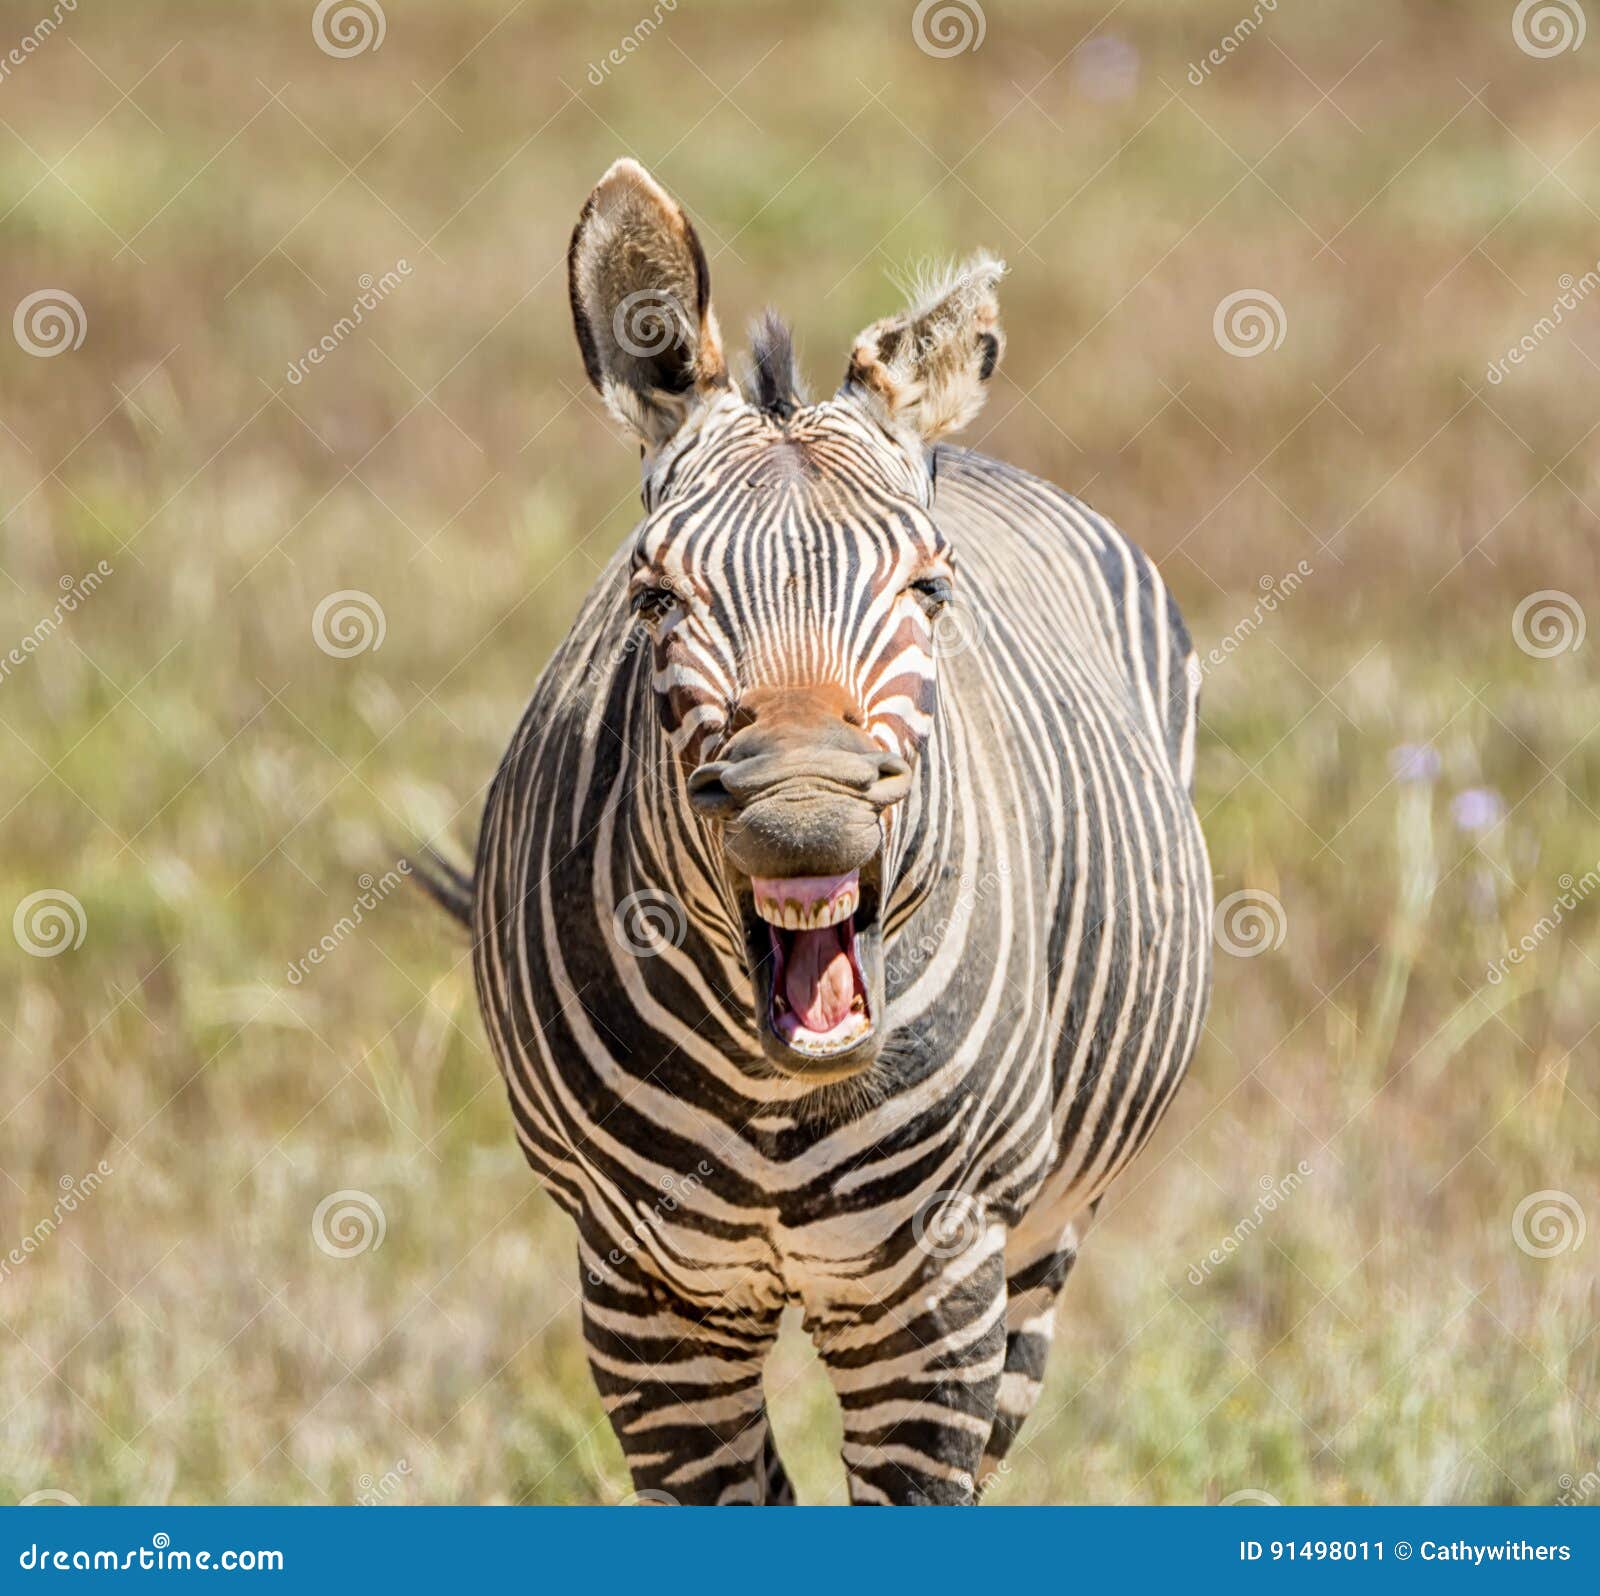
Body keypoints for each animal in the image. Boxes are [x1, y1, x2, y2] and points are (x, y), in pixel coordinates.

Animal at [439, 159, 1212, 1505]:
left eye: (928, 589)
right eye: (654, 596)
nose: (803, 815)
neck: (772, 1085)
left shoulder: (939, 1289)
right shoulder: (641, 1298)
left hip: (1042, 1245)